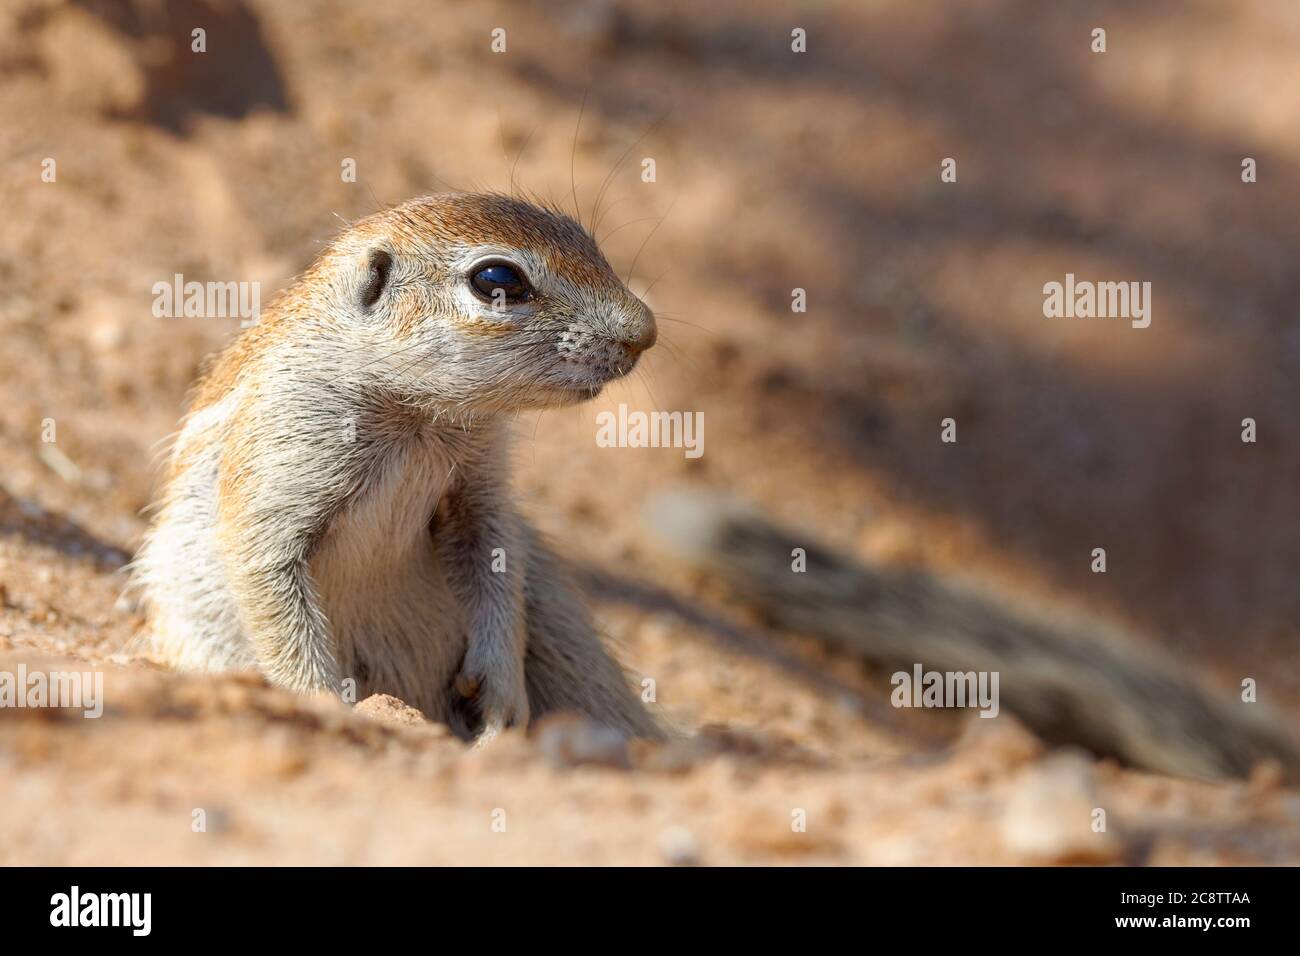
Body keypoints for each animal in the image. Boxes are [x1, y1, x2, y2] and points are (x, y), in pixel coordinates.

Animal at [133, 193, 661, 742]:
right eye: (497, 279)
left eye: (585, 240)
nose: (645, 332)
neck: (415, 414)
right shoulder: (278, 457)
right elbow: (267, 581)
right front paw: (321, 702)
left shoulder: (480, 484)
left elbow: (495, 555)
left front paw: (501, 699)